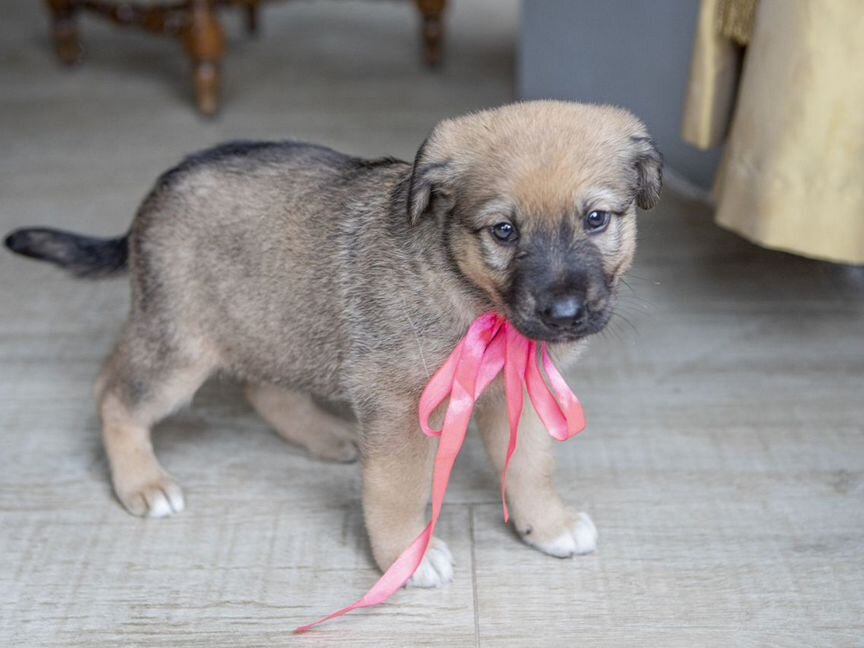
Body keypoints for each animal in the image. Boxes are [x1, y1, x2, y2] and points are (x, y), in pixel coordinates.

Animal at [3, 101, 660, 588]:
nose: (565, 315)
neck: (468, 291)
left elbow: (528, 468)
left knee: (263, 387)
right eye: (504, 231)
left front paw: (546, 526)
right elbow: (398, 491)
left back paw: (323, 434)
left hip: (271, 320)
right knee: (113, 394)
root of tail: (158, 190)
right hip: (179, 346)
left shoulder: (515, 390)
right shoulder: (400, 407)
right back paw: (141, 481)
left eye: (597, 219)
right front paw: (405, 559)